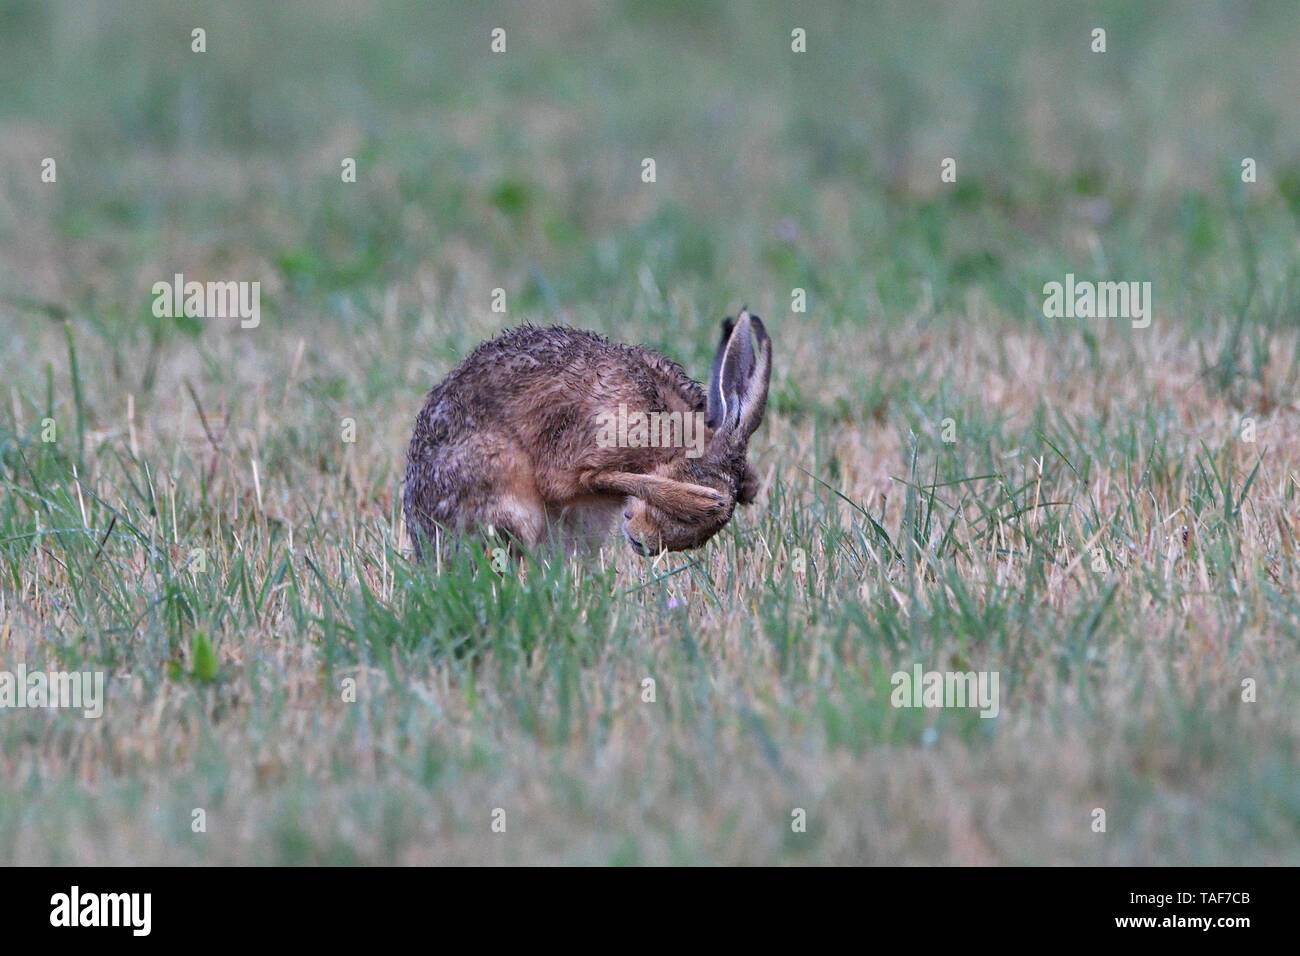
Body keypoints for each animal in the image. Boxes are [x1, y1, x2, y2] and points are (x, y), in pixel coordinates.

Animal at [403, 308, 771, 560]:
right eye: (708, 489)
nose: (642, 545)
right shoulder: (587, 452)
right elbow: (596, 477)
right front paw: (697, 501)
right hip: (503, 490)